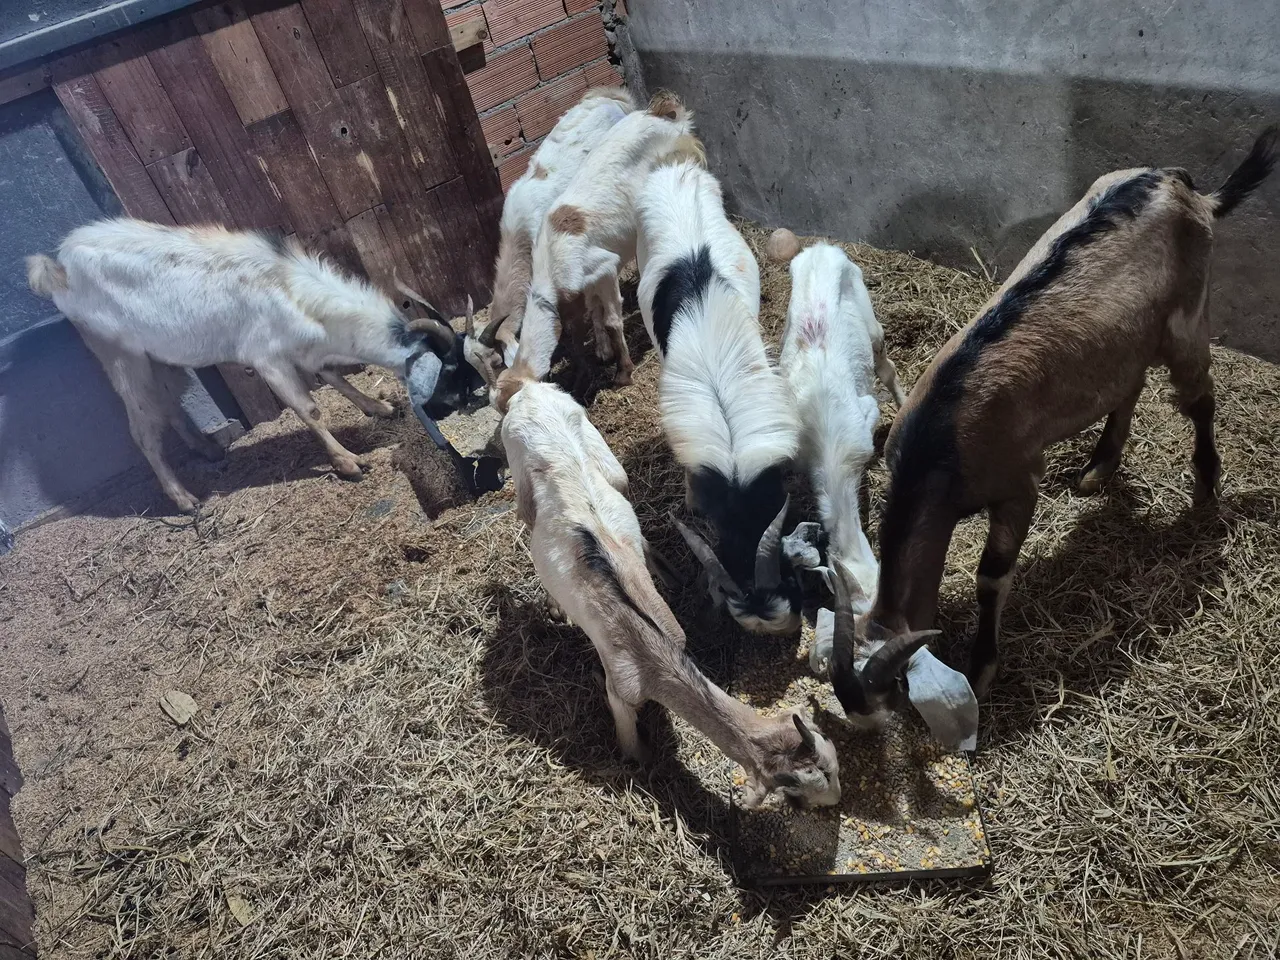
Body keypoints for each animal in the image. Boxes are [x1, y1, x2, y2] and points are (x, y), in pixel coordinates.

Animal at [27, 219, 482, 512]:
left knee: (167, 404)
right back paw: (184, 499)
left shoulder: (307, 351)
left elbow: (333, 375)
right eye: (452, 375)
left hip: (156, 358)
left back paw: (208, 449)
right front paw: (349, 462)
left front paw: (380, 407)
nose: (470, 403)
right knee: (142, 429)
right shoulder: (268, 360)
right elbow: (310, 409)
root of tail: (58, 266)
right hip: (120, 355)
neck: (290, 290)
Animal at [494, 92, 700, 413]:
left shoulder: (603, 269)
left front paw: (623, 373)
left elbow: (612, 320)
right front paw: (585, 374)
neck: (550, 265)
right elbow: (580, 329)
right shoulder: (577, 292)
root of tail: (659, 113)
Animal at [501, 377, 840, 808]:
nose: (837, 799)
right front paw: (639, 763)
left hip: (607, 459)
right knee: (526, 517)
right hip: (518, 476)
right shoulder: (621, 689)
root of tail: (530, 389)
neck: (652, 651)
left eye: (830, 755)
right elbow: (631, 745)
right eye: (799, 790)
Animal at [832, 126, 1279, 718]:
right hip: (1128, 338)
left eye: (893, 694)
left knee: (1199, 397)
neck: (940, 439)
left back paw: (1205, 484)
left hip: (1187, 317)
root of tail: (1188, 188)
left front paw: (982, 668)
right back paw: (1098, 468)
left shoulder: (1018, 483)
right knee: (1129, 385)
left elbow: (992, 575)